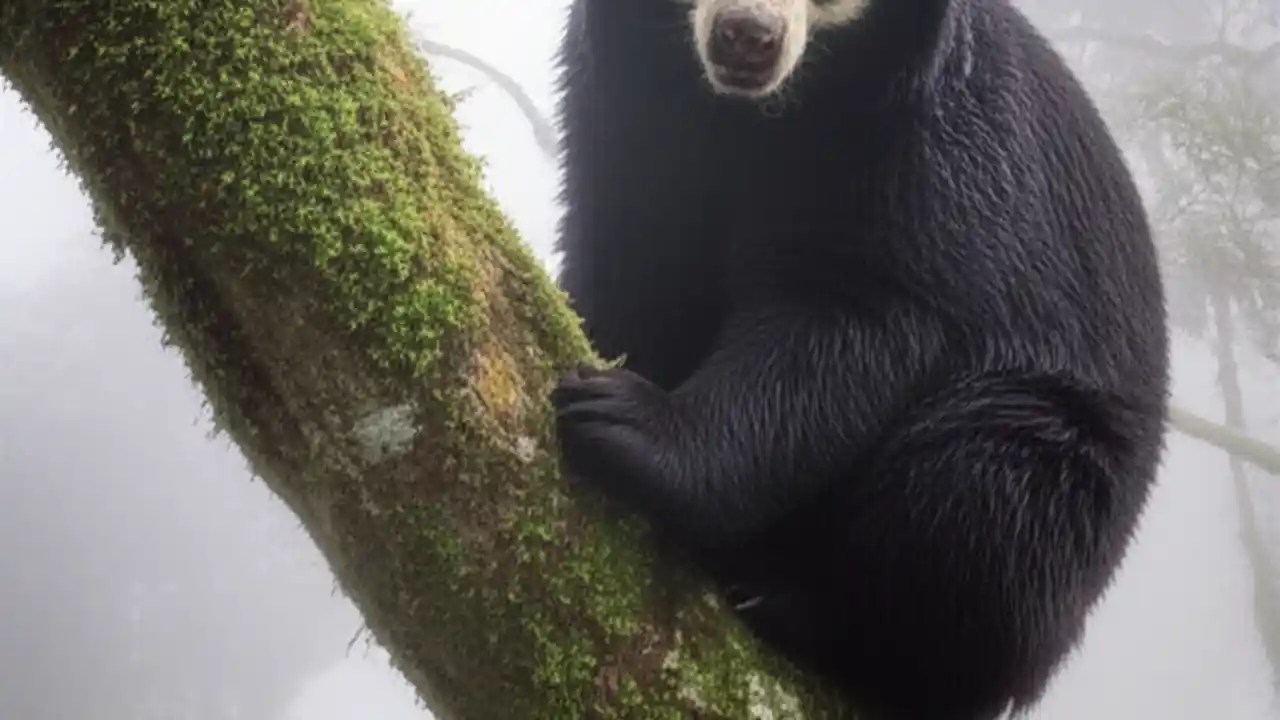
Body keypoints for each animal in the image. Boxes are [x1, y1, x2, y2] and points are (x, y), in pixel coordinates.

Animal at [549, 0, 1170, 717]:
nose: (747, 38)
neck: (748, 118)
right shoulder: (620, 101)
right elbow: (625, 260)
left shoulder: (920, 156)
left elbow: (841, 328)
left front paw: (622, 417)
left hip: (1055, 478)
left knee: (978, 492)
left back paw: (788, 605)